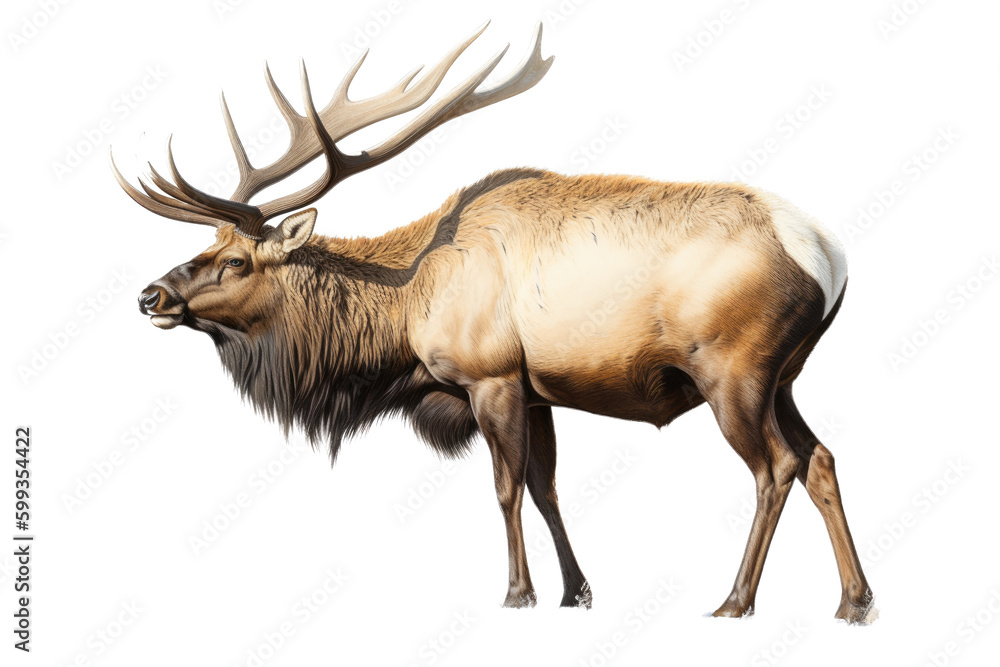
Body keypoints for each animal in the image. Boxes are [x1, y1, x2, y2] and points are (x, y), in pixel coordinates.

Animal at [112, 23, 875, 623]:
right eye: (209, 250)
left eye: (235, 260)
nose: (150, 295)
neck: (403, 319)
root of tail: (829, 254)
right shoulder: (538, 391)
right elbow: (546, 488)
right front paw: (576, 591)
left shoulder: (491, 375)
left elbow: (506, 489)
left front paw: (518, 592)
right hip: (784, 376)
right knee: (822, 458)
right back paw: (854, 600)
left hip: (732, 369)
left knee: (776, 466)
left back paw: (736, 599)